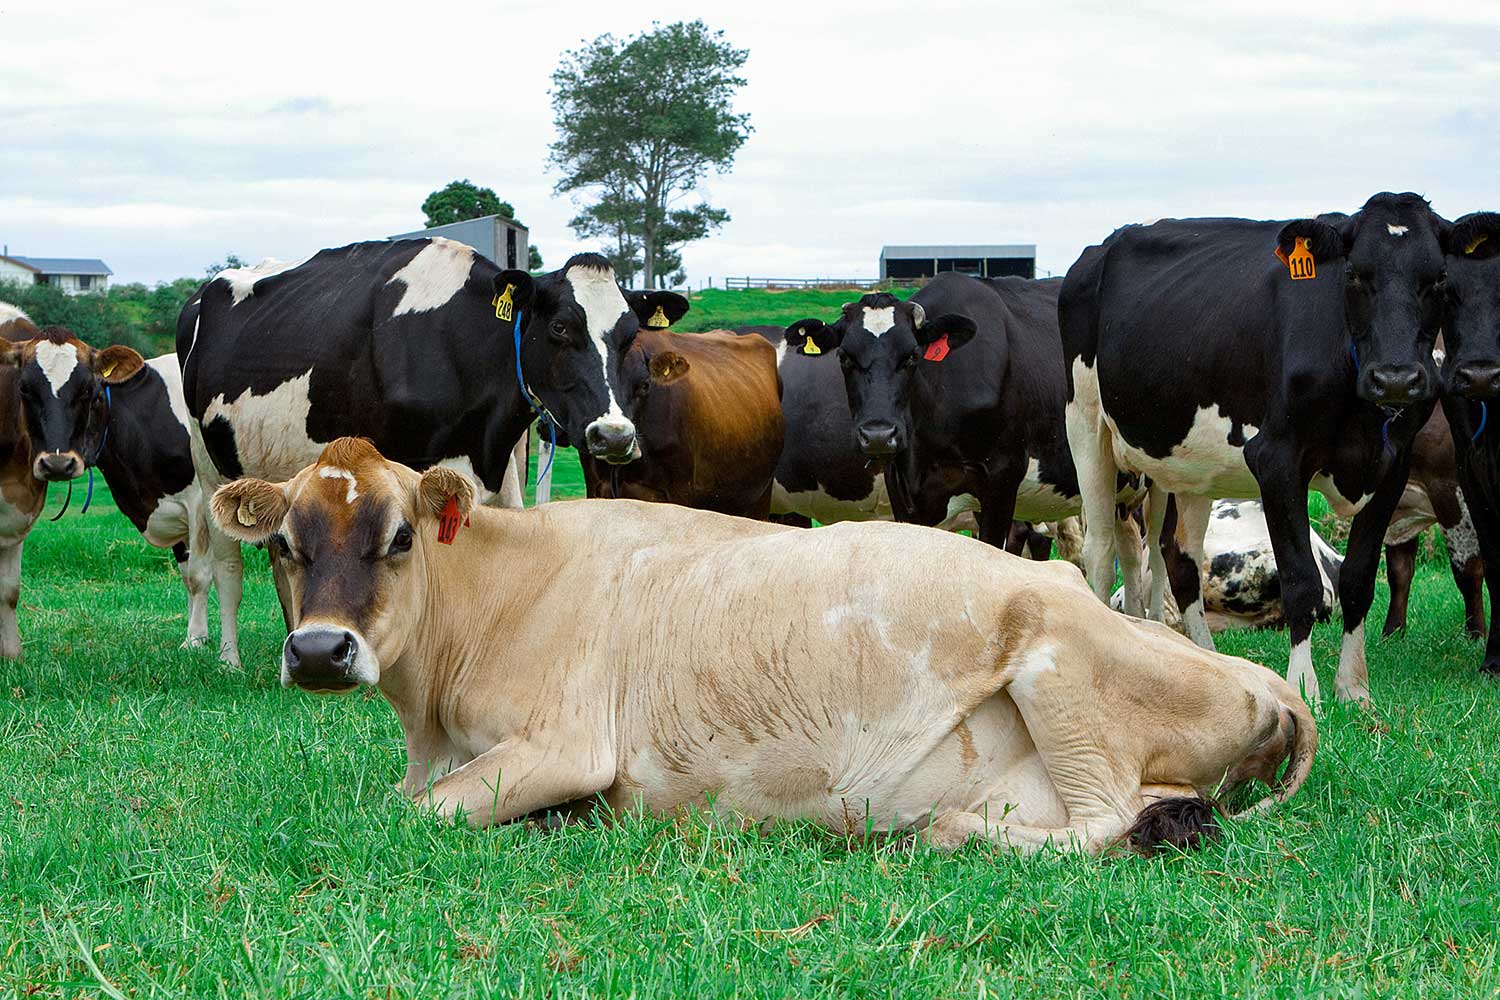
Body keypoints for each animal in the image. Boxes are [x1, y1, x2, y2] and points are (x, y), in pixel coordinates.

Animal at [178, 241, 687, 662]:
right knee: (227, 566)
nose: (614, 435)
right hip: (210, 467)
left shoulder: (500, 470)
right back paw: (228, 658)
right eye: (561, 327)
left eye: (628, 336)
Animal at [210, 437, 1317, 854]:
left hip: (1059, 669)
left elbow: (409, 814)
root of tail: (1255, 675)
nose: (318, 650)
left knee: (1100, 820)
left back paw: (939, 830)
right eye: (282, 543)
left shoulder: (566, 744)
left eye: (398, 537)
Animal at [780, 277, 1148, 602]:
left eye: (912, 356)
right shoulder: (905, 489)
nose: (878, 435)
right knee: (1130, 551)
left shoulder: (1001, 479)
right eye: (844, 357)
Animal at [1061, 193, 1450, 705]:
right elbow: (1302, 581)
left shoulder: (1393, 467)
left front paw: (1353, 690)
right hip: (1086, 424)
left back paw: (1204, 657)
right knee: (1101, 552)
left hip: (1185, 466)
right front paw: (1305, 688)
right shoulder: (1276, 459)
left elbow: (1361, 579)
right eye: (1353, 273)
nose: (1397, 379)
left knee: (1177, 556)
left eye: (1439, 277)